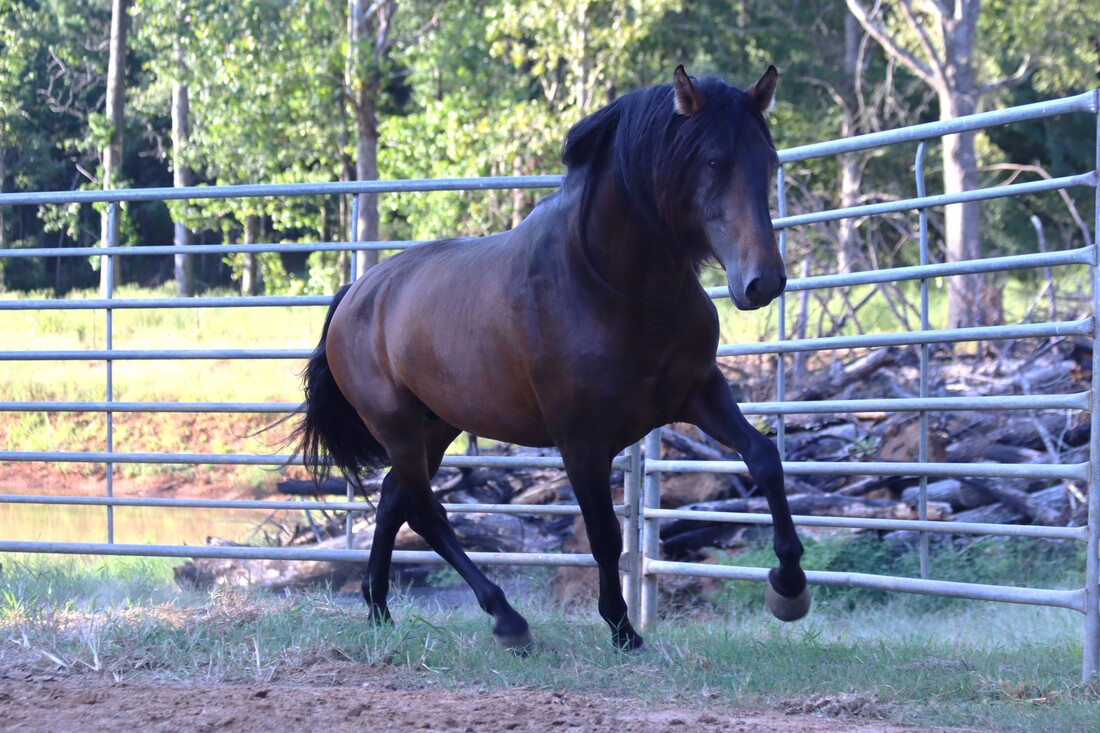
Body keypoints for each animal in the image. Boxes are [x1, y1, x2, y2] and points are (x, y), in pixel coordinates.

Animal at [294, 65, 810, 651]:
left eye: (768, 160)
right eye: (713, 161)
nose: (763, 281)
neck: (613, 288)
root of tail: (355, 294)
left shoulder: (699, 394)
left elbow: (765, 460)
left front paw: (789, 587)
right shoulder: (581, 439)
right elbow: (605, 535)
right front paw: (621, 627)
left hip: (437, 426)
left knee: (391, 502)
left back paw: (379, 608)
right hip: (396, 425)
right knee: (425, 512)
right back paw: (505, 617)